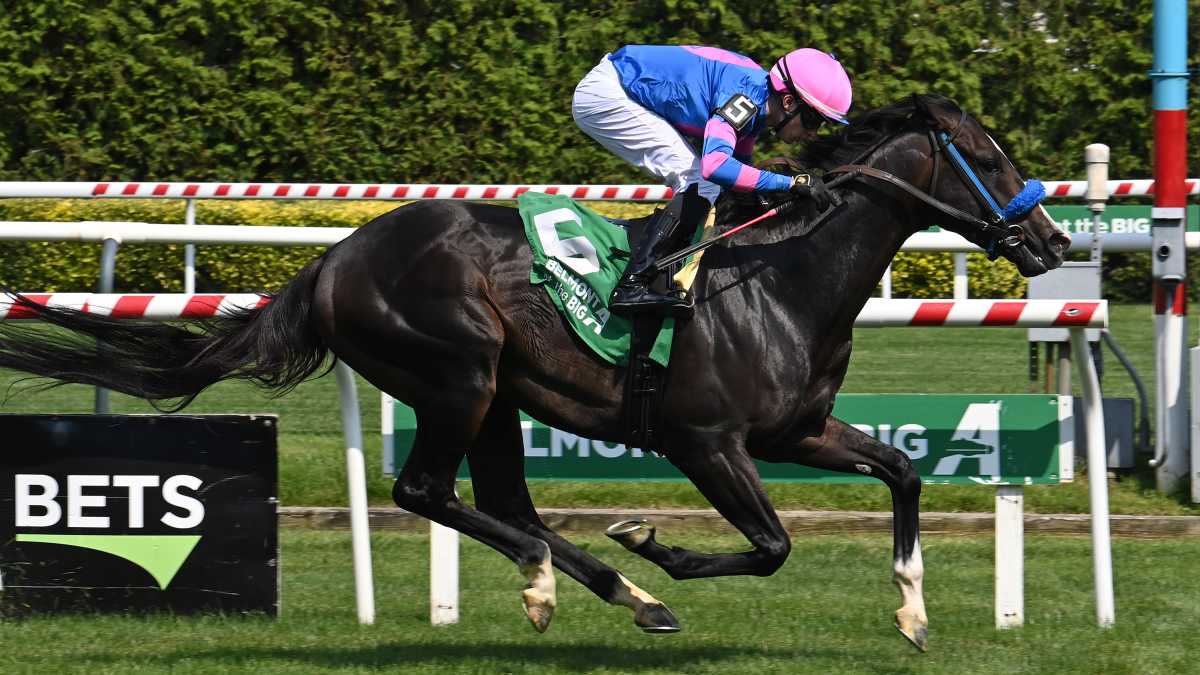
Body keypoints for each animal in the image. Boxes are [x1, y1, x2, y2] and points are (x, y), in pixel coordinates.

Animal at [0, 93, 1068, 651]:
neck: (781, 275)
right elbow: (769, 545)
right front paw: (658, 543)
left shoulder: (794, 429)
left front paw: (913, 607)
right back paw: (577, 580)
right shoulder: (706, 440)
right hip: (456, 372)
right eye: (986, 155)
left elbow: (904, 470)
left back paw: (606, 588)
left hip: (500, 397)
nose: (1054, 240)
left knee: (503, 499)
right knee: (426, 489)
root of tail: (332, 259)